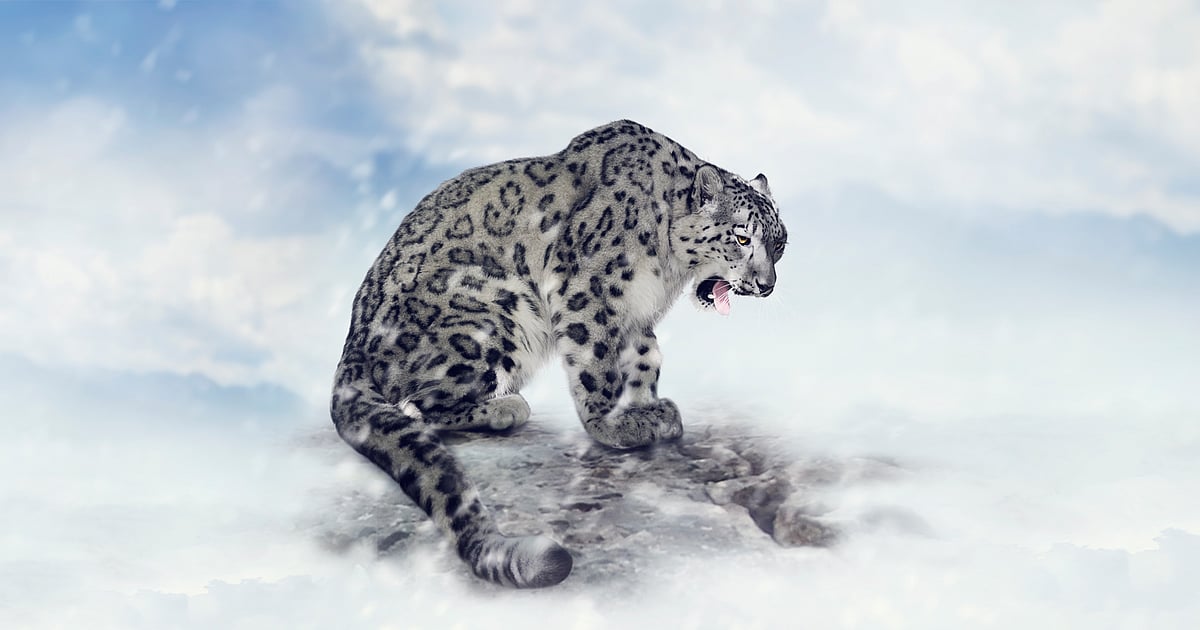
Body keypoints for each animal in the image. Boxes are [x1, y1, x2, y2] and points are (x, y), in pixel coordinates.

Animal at [331, 120, 787, 588]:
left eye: (780, 242)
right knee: (414, 403)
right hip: (496, 311)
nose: (766, 285)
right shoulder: (588, 288)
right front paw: (613, 423)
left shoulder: (635, 313)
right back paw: (505, 407)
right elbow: (597, 364)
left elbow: (646, 356)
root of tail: (352, 344)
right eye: (741, 236)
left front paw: (649, 407)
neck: (669, 269)